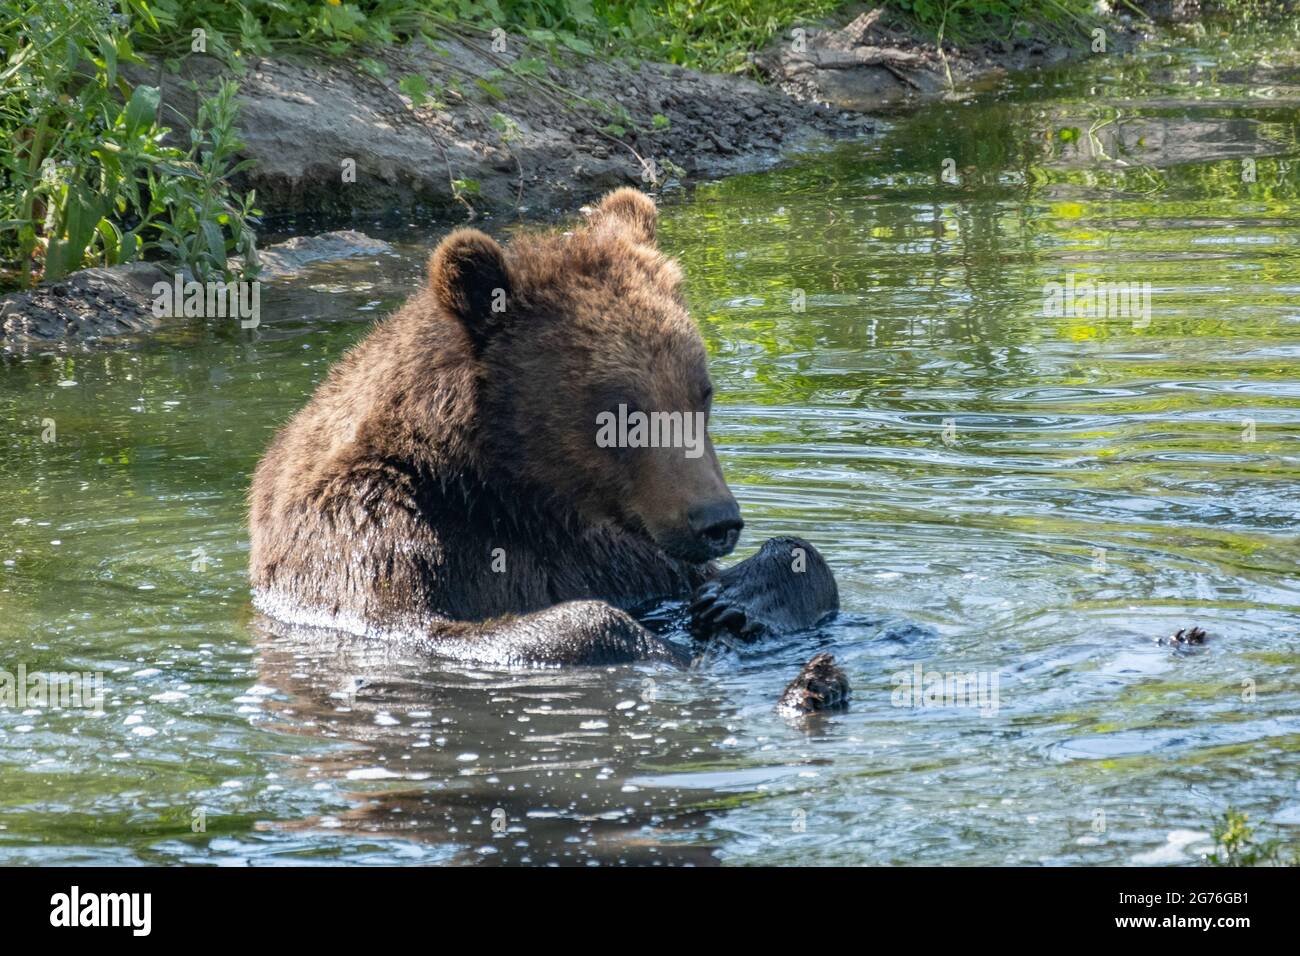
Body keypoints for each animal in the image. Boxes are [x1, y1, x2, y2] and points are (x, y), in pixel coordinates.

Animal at [248, 188, 839, 666]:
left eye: (701, 394)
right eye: (621, 412)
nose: (716, 520)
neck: (505, 492)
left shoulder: (622, 551)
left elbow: (784, 563)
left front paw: (738, 599)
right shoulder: (374, 527)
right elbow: (426, 624)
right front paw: (658, 645)